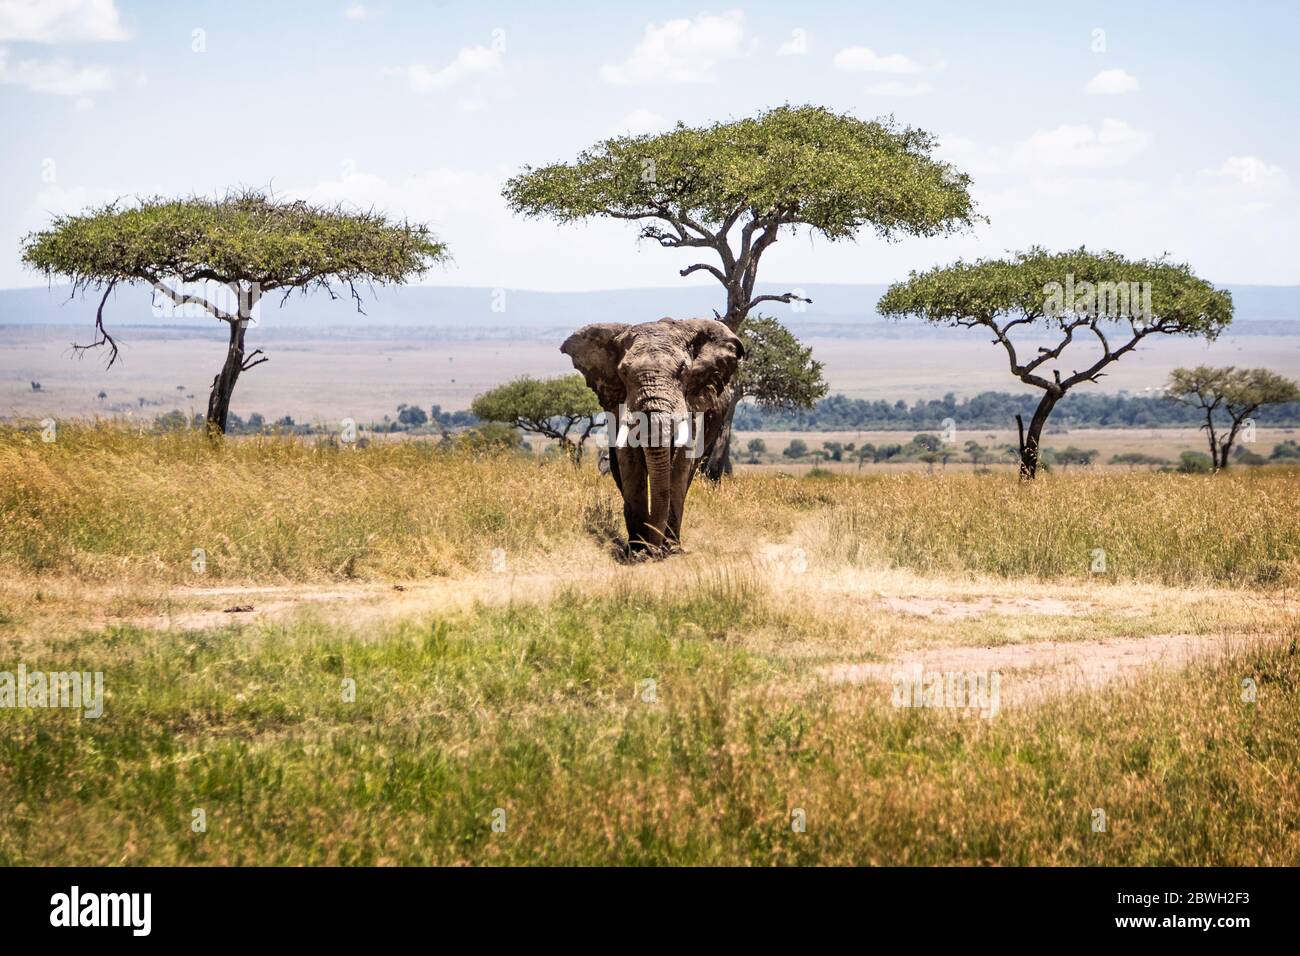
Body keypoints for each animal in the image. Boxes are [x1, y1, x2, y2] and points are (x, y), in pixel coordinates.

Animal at [561, 317, 745, 556]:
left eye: (683, 370)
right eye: (623, 372)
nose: (654, 551)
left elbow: (680, 464)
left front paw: (669, 550)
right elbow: (629, 461)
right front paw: (638, 551)